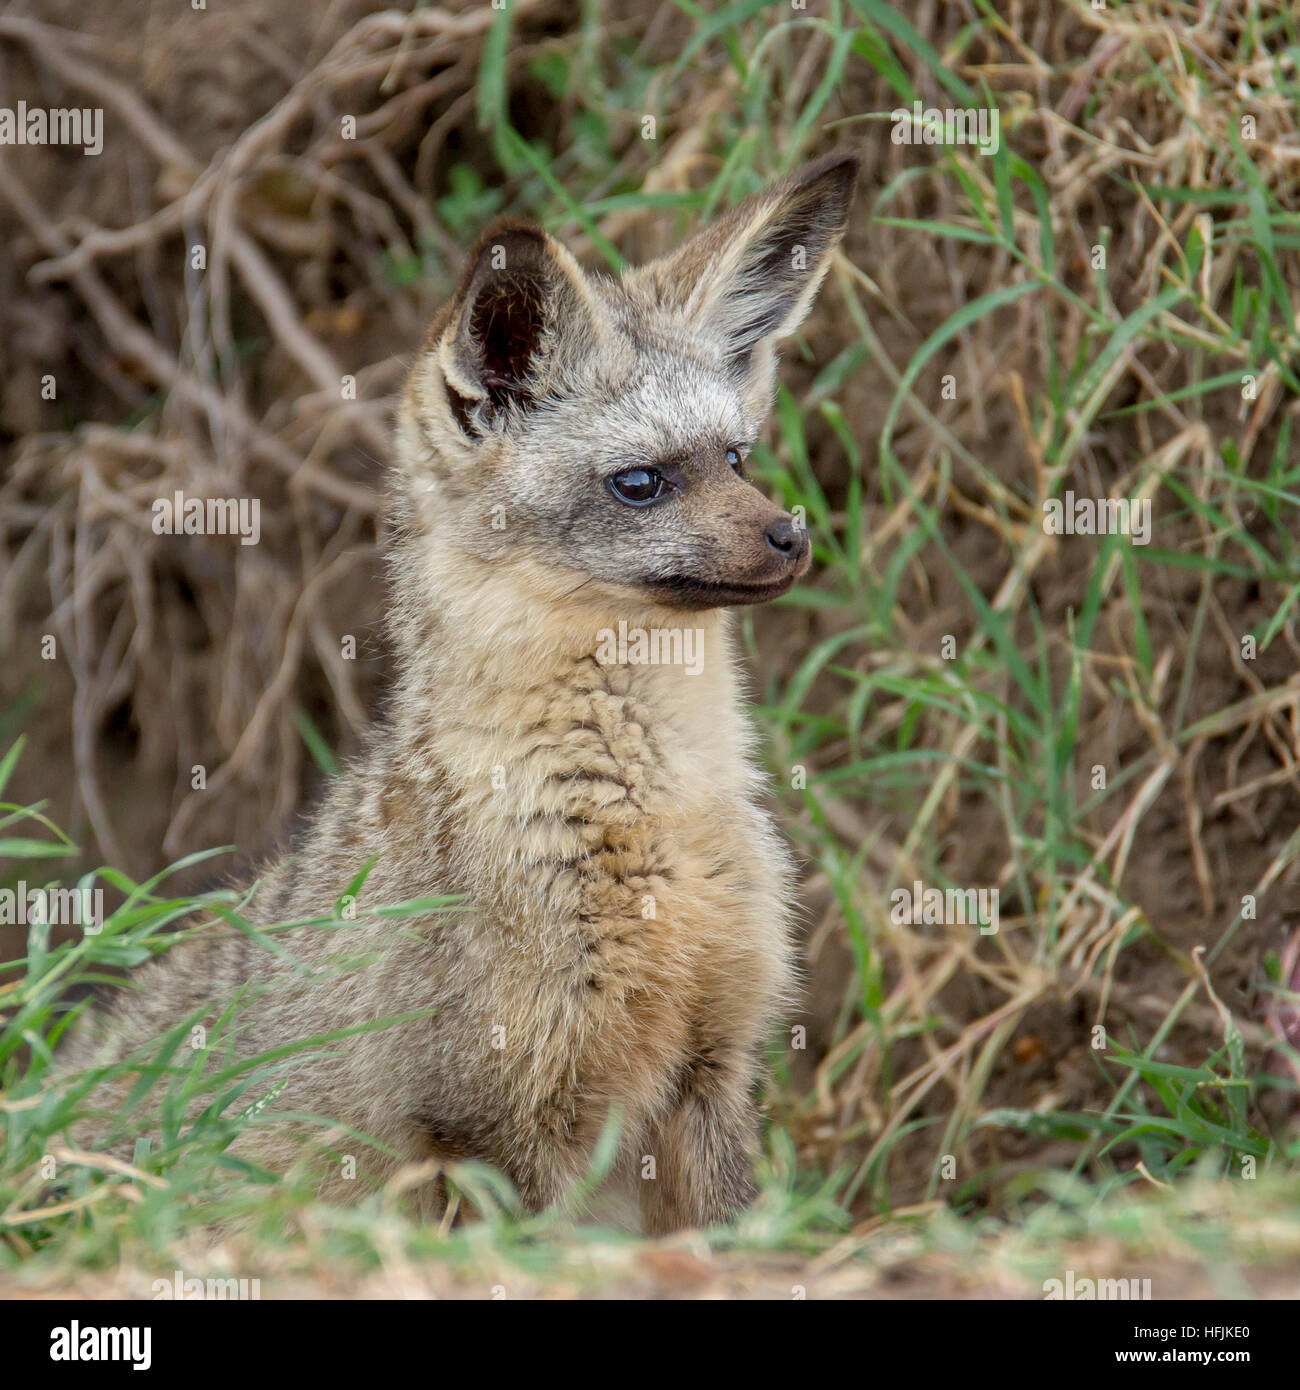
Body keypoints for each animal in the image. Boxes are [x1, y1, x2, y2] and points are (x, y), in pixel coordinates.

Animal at [61, 151, 860, 1234]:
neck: (651, 811)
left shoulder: (714, 1066)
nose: (790, 536)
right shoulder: (494, 1115)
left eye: (736, 459)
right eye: (640, 483)